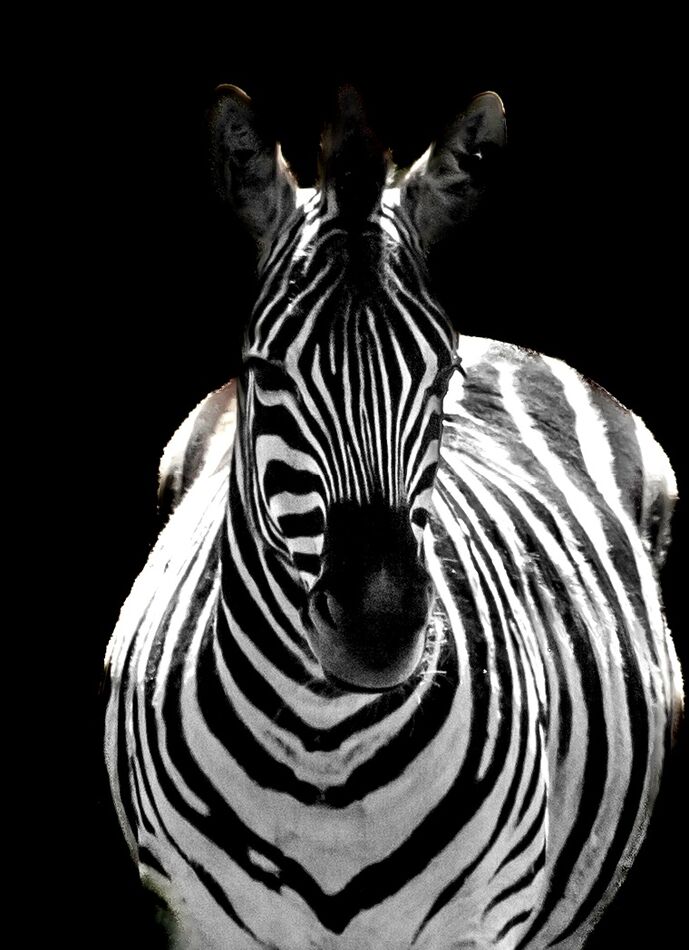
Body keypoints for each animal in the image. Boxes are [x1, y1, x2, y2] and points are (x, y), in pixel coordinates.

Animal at [104, 85, 683, 949]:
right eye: (265, 371)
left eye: (441, 371)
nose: (377, 625)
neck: (325, 745)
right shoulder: (198, 923)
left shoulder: (484, 922)